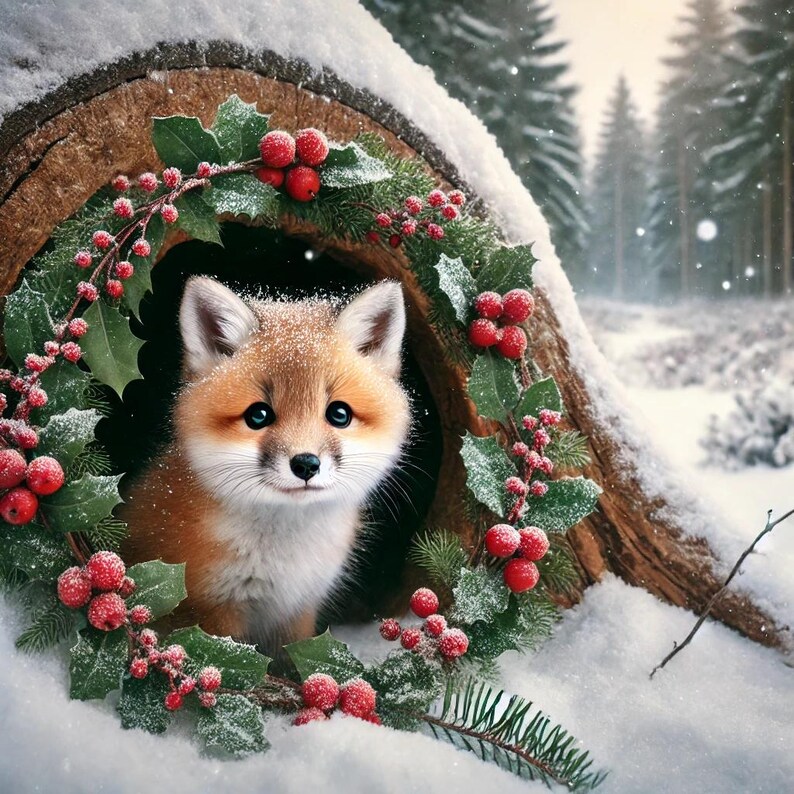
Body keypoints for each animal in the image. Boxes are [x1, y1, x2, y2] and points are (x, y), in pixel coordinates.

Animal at [120, 277, 411, 657]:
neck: (283, 560)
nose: (306, 464)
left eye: (339, 414)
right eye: (258, 416)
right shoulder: (212, 613)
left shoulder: (298, 612)